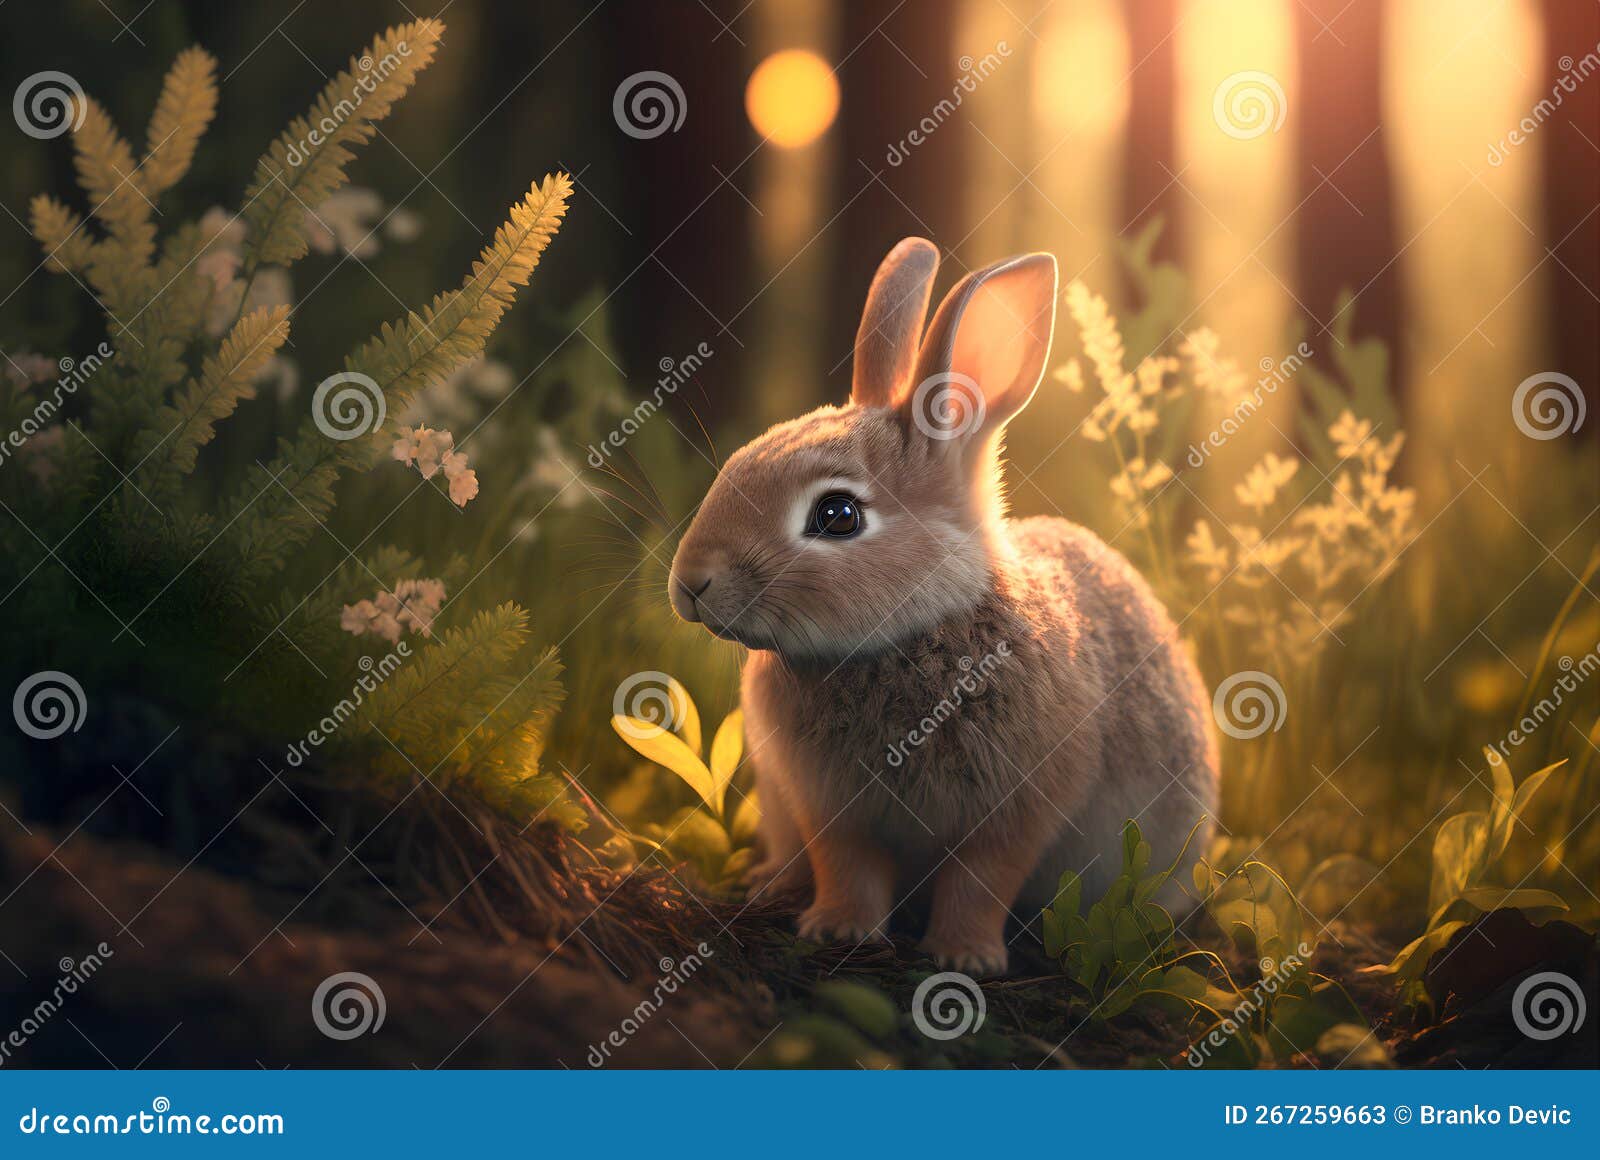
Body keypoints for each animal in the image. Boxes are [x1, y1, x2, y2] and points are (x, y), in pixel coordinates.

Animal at [667, 237, 1218, 975]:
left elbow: (981, 881)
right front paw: (840, 929)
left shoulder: (1018, 810)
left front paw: (964, 958)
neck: (915, 634)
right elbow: (848, 866)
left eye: (837, 515)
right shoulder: (830, 807)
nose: (691, 583)